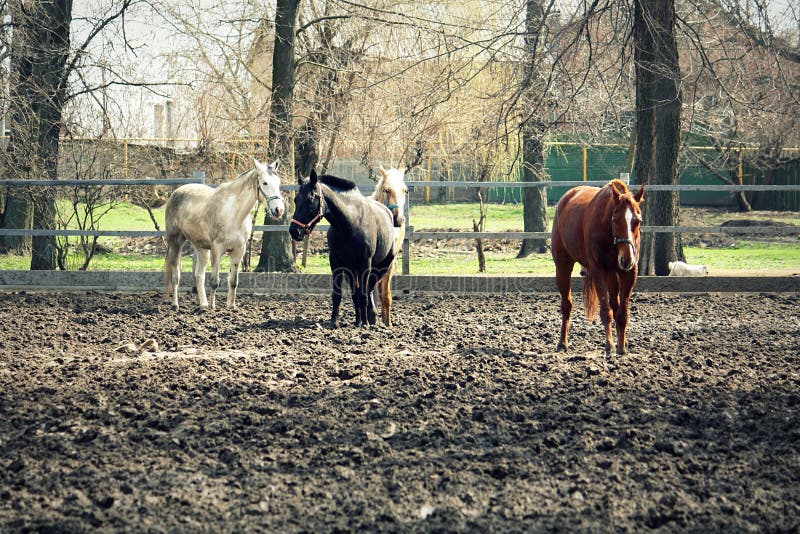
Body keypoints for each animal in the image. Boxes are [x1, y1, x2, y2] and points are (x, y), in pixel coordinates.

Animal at [164, 158, 285, 310]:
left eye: (278, 183)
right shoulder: (217, 248)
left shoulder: (239, 250)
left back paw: (203, 304)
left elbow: (233, 281)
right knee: (175, 275)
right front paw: (213, 307)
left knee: (199, 275)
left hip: (201, 248)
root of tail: (176, 192)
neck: (233, 213)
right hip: (176, 242)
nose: (279, 210)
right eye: (265, 183)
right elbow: (214, 281)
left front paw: (231, 306)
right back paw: (176, 305)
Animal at [289, 170, 397, 328]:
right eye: (296, 199)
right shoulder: (336, 263)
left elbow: (363, 294)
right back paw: (358, 320)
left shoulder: (365, 264)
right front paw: (334, 321)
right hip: (352, 269)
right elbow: (338, 294)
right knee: (356, 292)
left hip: (382, 267)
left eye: (310, 199)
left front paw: (365, 323)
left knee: (368, 289)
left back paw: (369, 317)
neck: (350, 223)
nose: (294, 231)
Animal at [551, 179, 645, 355]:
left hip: (613, 274)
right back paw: (562, 342)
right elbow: (606, 311)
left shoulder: (629, 273)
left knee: (615, 304)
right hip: (563, 266)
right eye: (615, 219)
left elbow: (622, 313)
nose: (627, 259)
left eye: (637, 220)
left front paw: (622, 346)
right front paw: (610, 345)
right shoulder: (598, 271)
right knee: (566, 305)